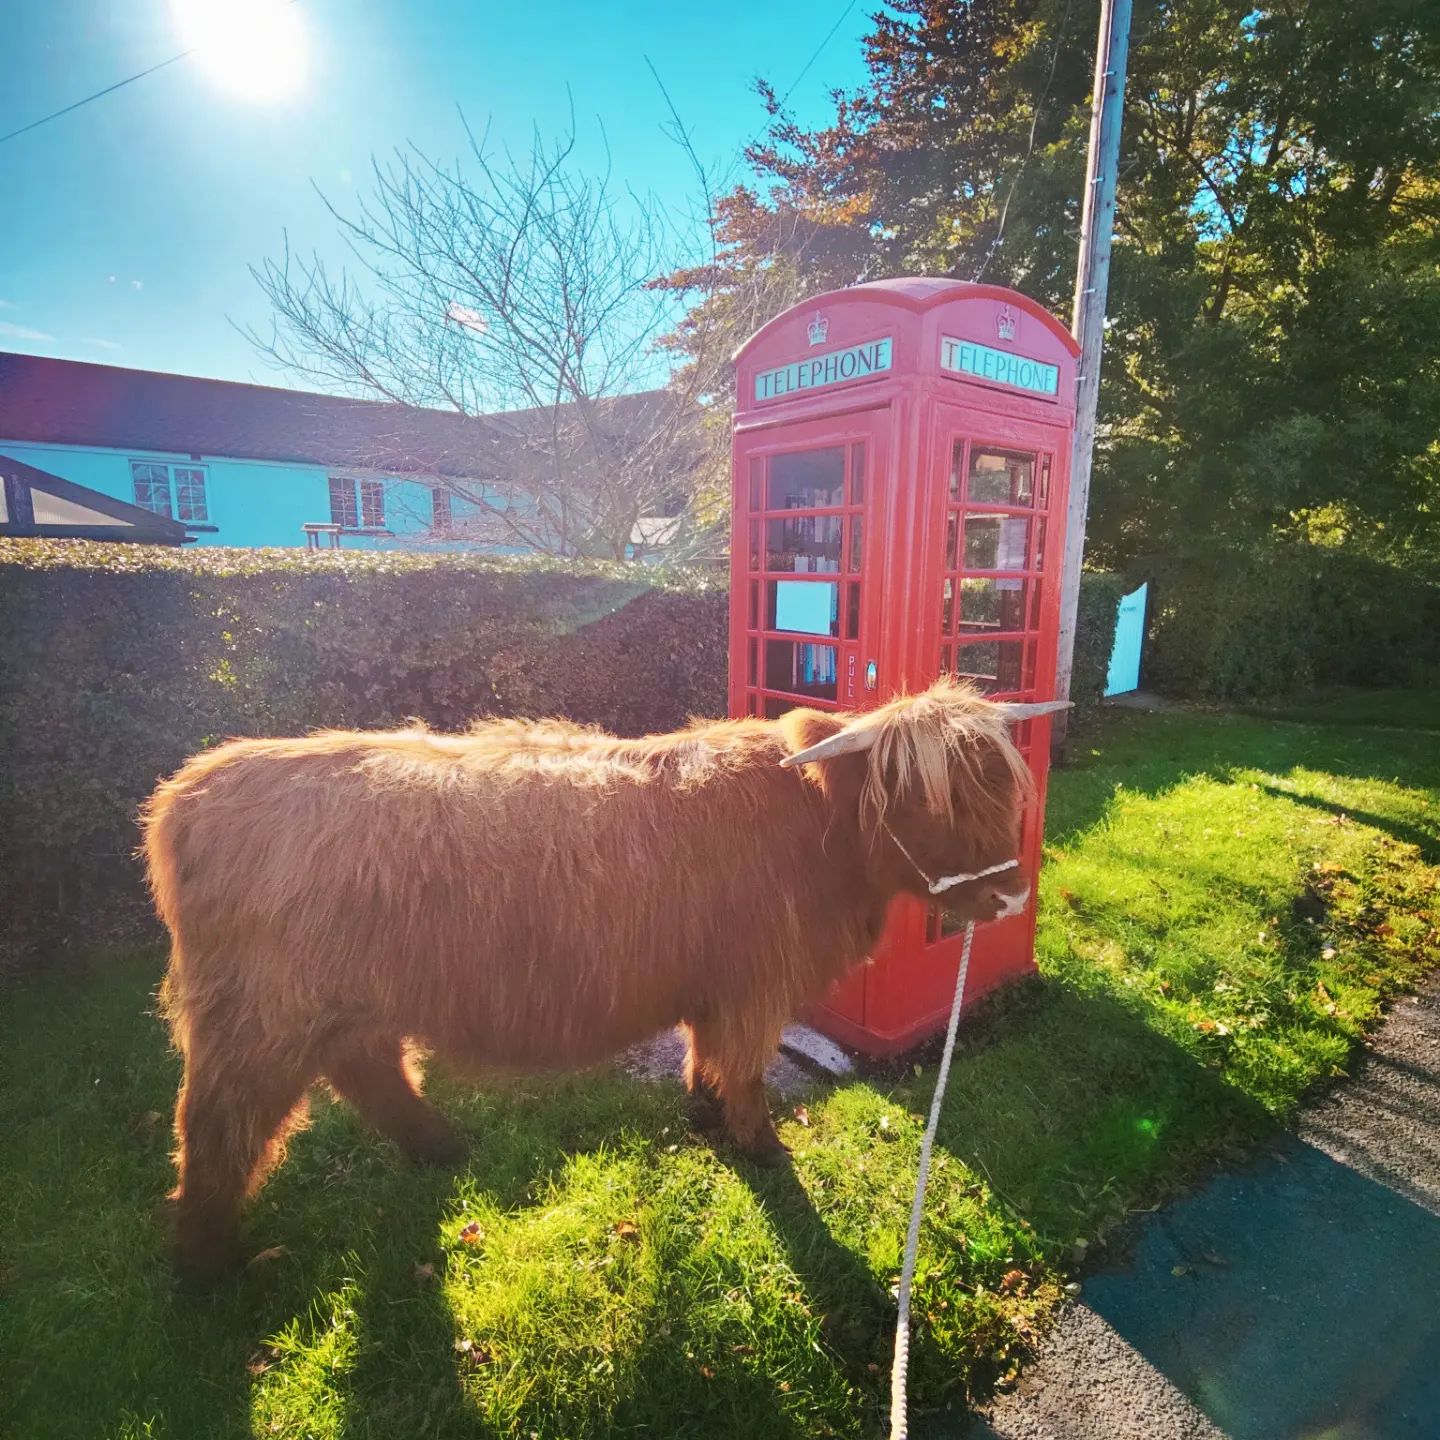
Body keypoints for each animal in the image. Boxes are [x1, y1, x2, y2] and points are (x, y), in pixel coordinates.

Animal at [142, 678, 1064, 1278]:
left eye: (1002, 791)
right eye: (928, 802)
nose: (1011, 895)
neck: (817, 829)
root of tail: (190, 791)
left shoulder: (715, 981)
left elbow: (707, 1052)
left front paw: (703, 1110)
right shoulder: (754, 983)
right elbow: (750, 1068)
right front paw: (761, 1145)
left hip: (339, 1008)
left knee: (367, 1071)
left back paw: (440, 1148)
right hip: (261, 1020)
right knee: (217, 1125)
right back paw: (205, 1262)